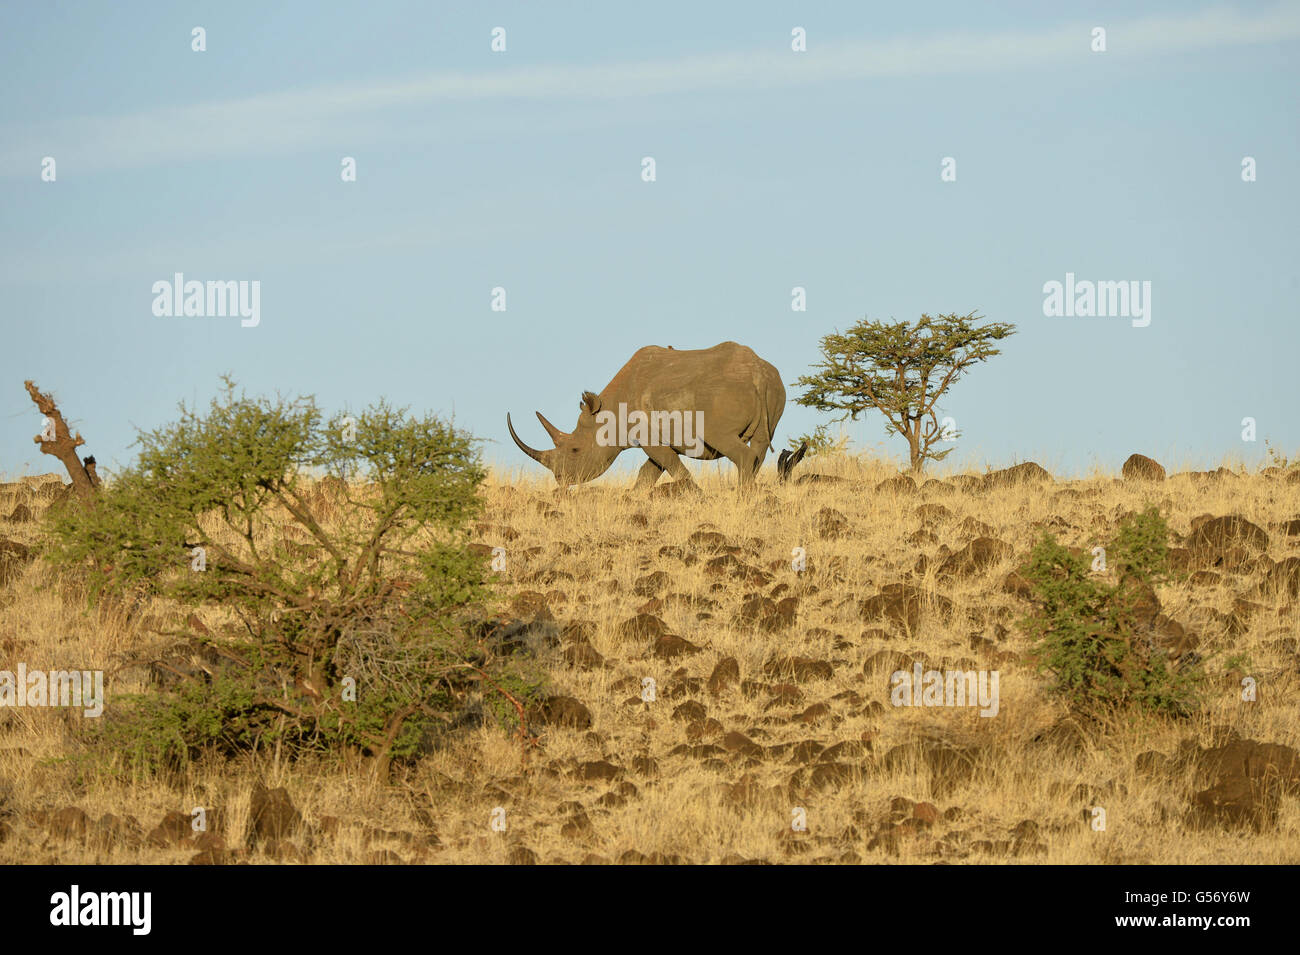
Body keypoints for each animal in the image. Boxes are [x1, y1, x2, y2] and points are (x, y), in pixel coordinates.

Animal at [508, 341, 801, 489]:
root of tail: (757, 372)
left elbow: (672, 469)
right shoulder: (658, 437)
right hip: (775, 384)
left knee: (731, 444)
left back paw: (740, 497)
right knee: (760, 444)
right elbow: (647, 474)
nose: (561, 480)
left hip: (722, 395)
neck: (607, 411)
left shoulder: (647, 437)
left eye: (575, 450)